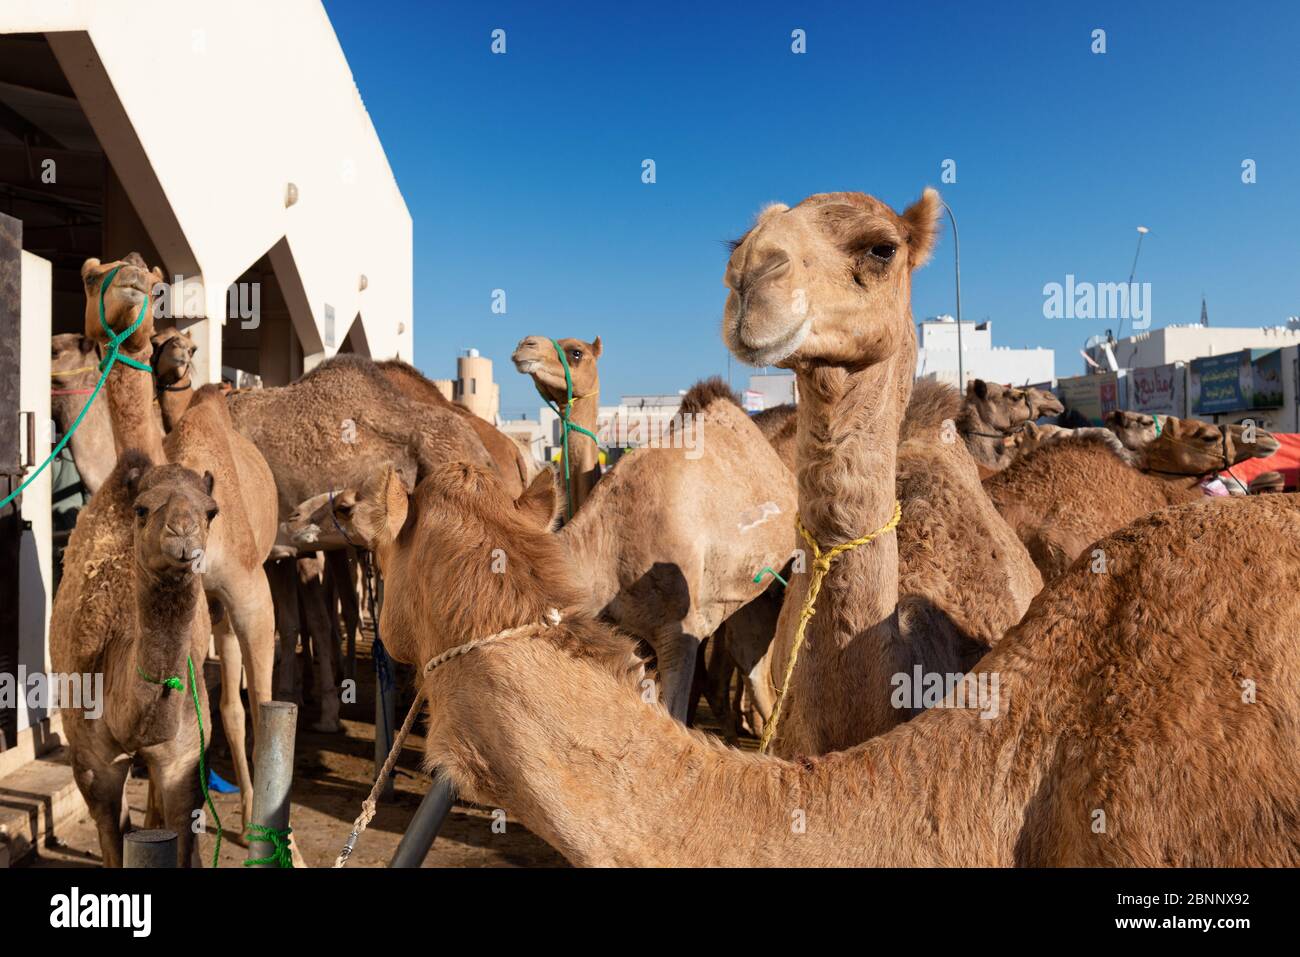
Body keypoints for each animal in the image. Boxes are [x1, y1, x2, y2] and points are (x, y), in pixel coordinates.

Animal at [51, 451, 218, 867]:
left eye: (212, 511)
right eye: (142, 509)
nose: (182, 531)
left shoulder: (187, 758)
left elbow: (183, 831)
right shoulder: (93, 764)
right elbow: (114, 838)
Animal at [81, 254, 279, 832]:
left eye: (153, 285)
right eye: (89, 275)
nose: (177, 354)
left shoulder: (251, 589)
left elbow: (264, 704)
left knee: (242, 704)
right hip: (212, 607)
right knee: (228, 707)